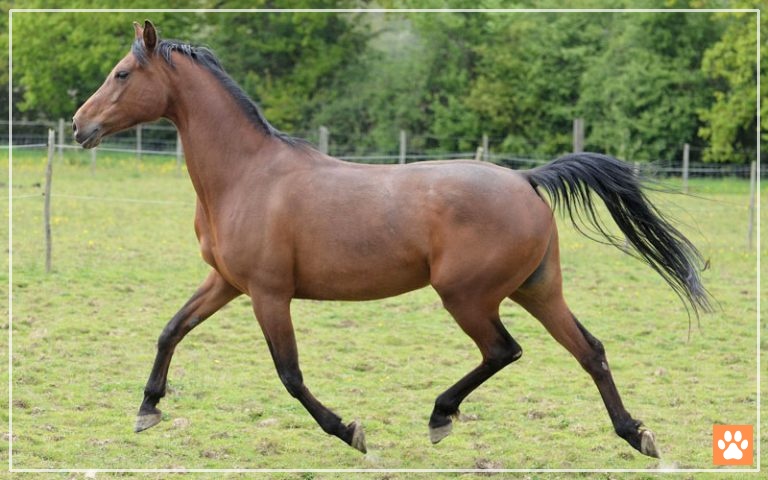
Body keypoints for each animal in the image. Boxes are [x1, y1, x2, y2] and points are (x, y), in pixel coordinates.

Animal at [73, 20, 710, 459]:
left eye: (122, 74)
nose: (80, 126)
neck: (246, 176)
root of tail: (526, 179)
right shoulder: (227, 282)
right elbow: (171, 329)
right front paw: (147, 409)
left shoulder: (268, 293)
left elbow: (290, 374)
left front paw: (349, 431)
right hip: (537, 289)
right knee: (590, 350)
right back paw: (636, 435)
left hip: (467, 296)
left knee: (504, 350)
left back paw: (440, 416)